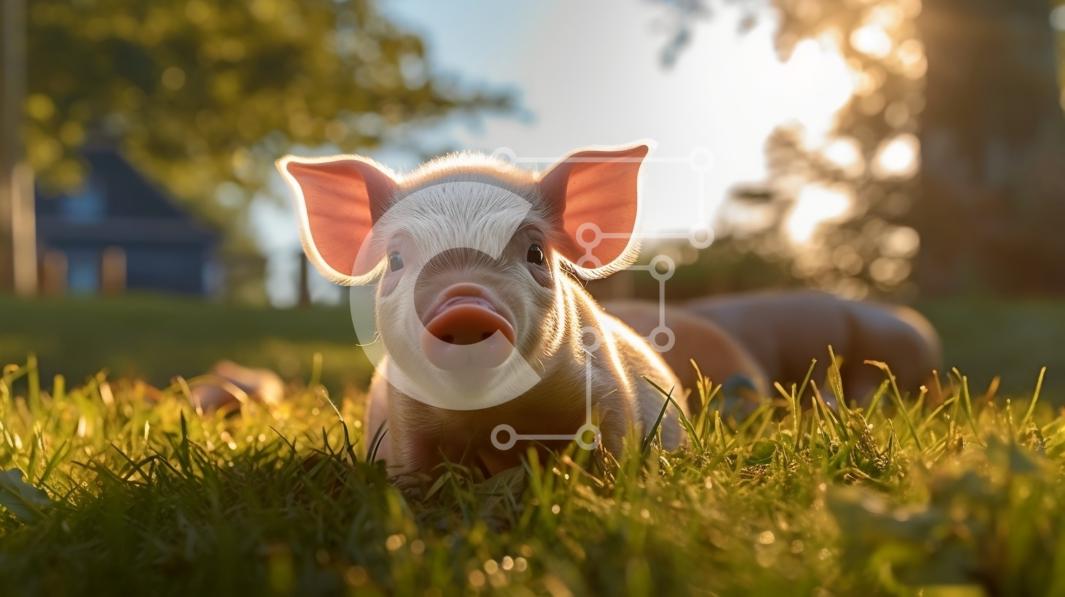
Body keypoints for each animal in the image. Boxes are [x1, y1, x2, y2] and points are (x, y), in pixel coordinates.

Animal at [278, 143, 687, 480]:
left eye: (536, 252)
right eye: (395, 259)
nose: (465, 307)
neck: (493, 418)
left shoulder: (604, 385)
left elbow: (614, 443)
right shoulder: (405, 408)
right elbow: (412, 467)